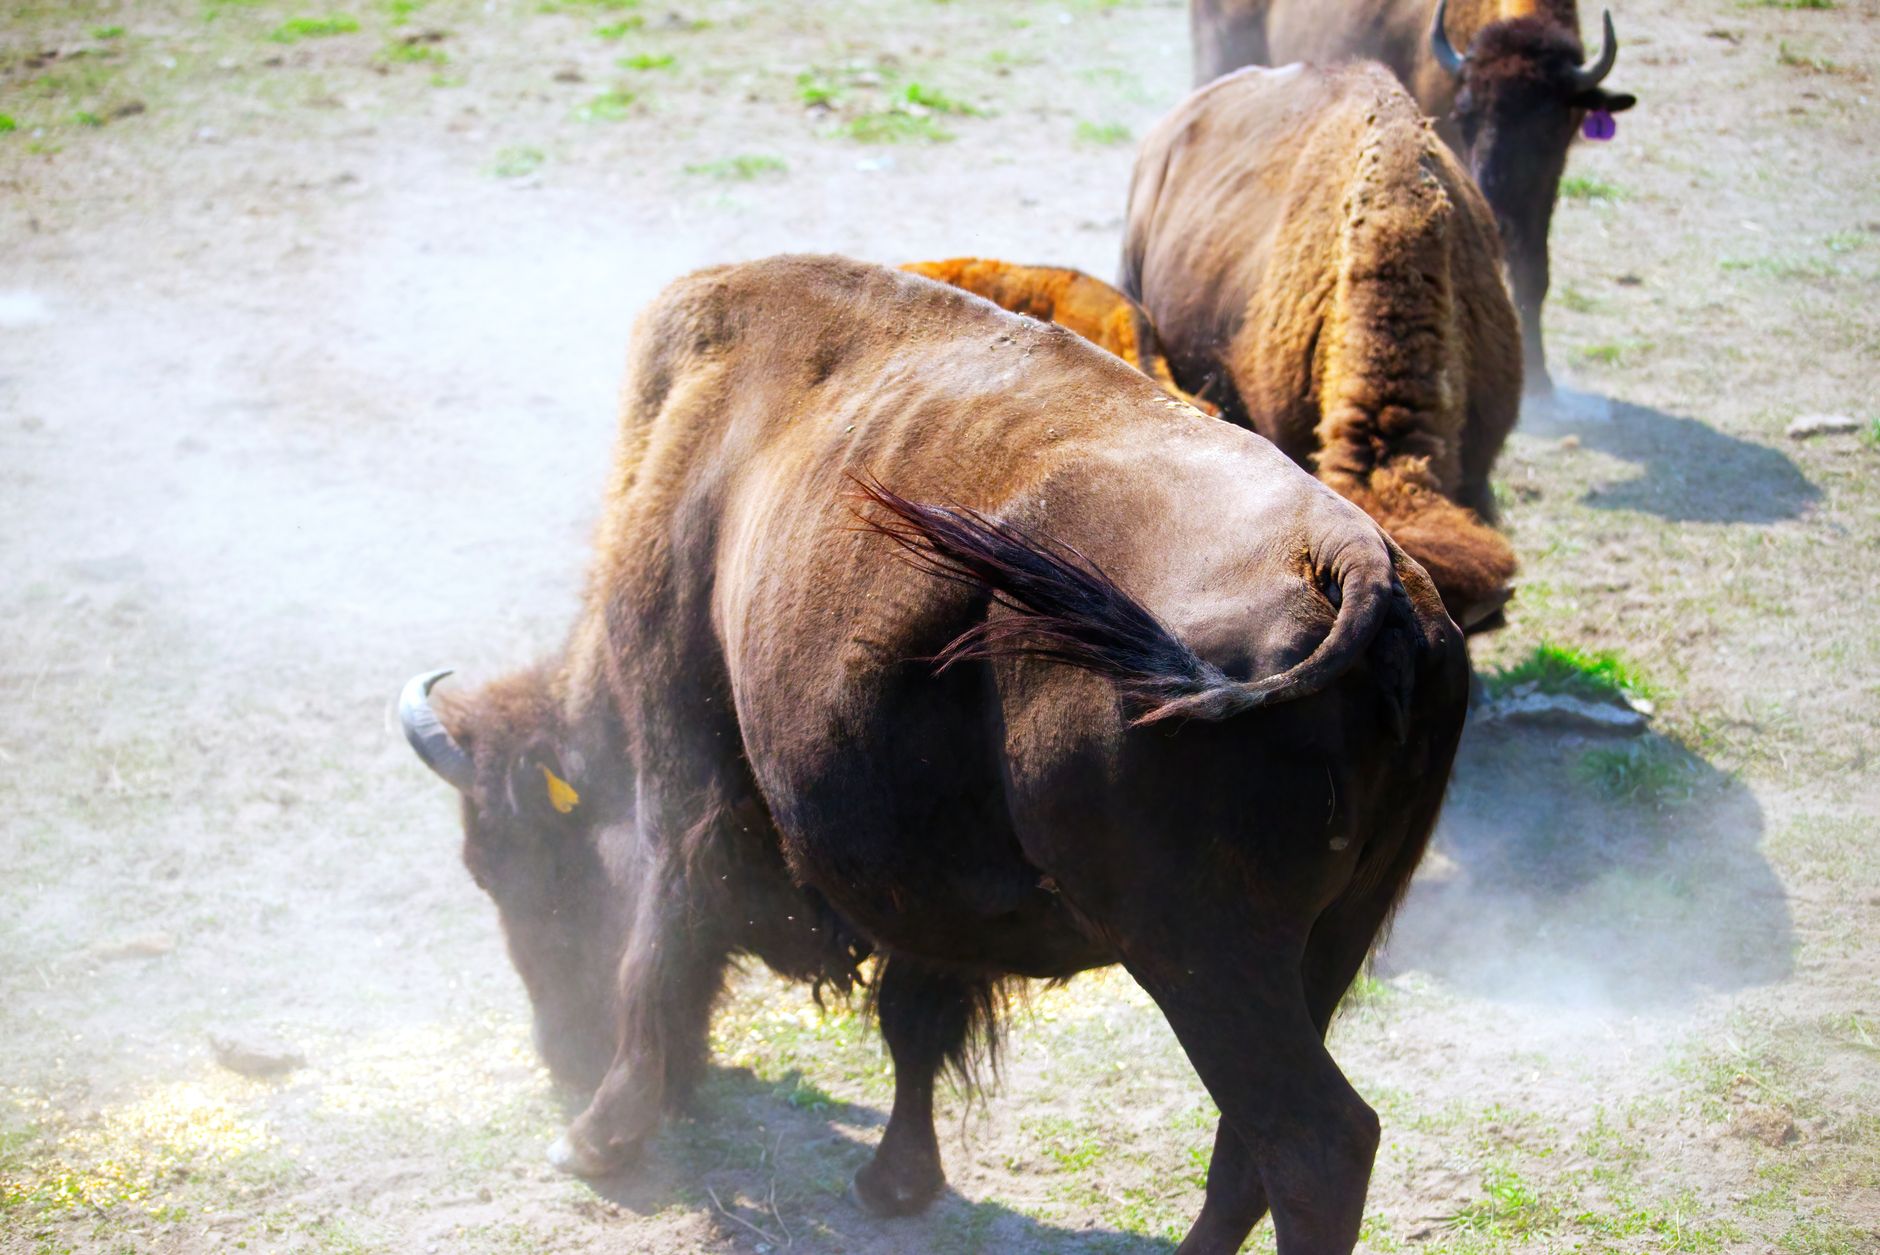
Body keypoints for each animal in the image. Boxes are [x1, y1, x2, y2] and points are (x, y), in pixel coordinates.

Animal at [402, 255, 1468, 1254]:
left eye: (504, 864)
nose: (561, 1052)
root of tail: (1353, 559)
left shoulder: (681, 776)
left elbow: (659, 941)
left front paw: (593, 1138)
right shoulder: (925, 881)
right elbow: (914, 1018)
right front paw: (896, 1182)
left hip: (1199, 951)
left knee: (1312, 1140)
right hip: (1328, 942)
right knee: (1249, 1147)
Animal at [1189, 0, 1636, 397]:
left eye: (1548, 124)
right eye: (1464, 115)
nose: (1497, 213)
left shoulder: (1545, 188)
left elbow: (1534, 275)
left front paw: (1541, 383)